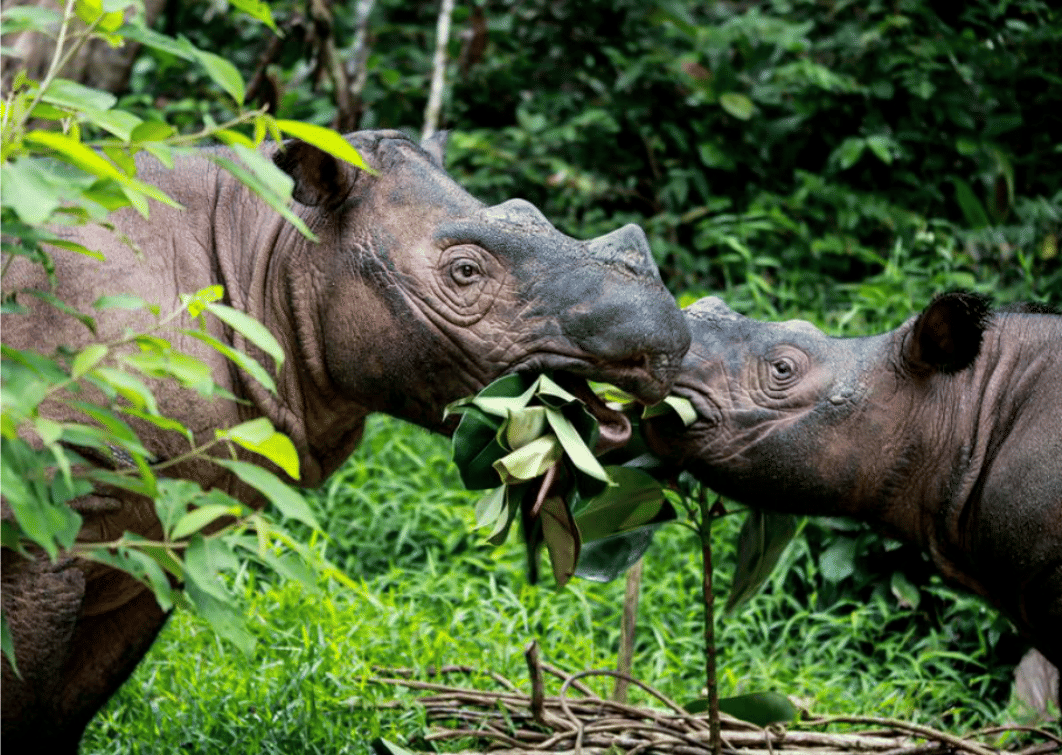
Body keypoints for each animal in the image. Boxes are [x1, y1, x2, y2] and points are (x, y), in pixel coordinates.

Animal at [0, 129, 691, 749]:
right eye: (465, 272)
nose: (669, 339)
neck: (269, 246)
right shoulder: (37, 514)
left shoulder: (162, 533)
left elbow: (62, 716)